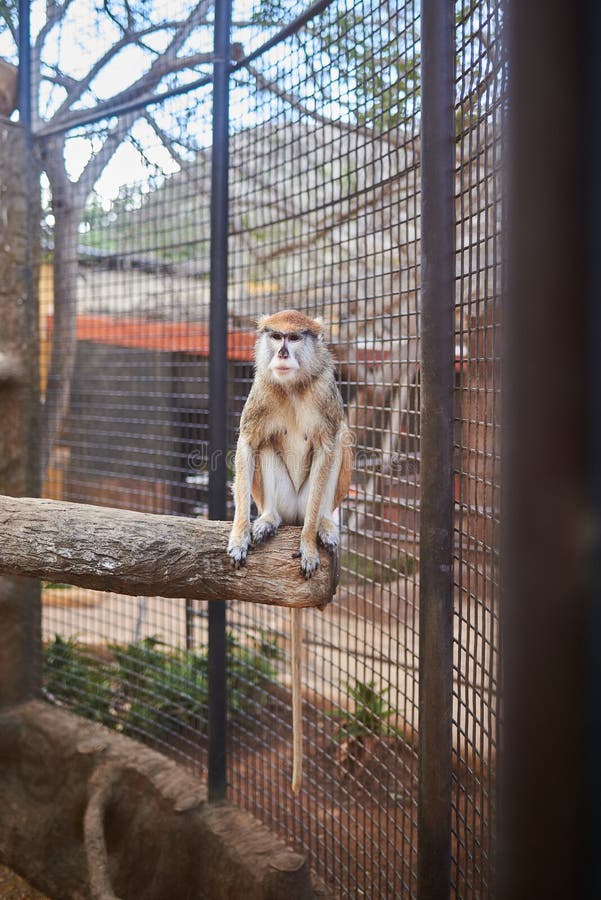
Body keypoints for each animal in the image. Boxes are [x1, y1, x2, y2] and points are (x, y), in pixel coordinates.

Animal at [228, 309, 353, 792]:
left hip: (311, 501)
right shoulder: (263, 389)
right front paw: (240, 532)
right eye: (276, 336)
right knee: (264, 445)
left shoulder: (325, 394)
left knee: (342, 440)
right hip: (283, 499)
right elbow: (248, 443)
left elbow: (328, 443)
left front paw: (309, 547)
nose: (281, 353)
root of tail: (296, 514)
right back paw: (268, 520)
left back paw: (320, 529)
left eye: (296, 338)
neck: (295, 384)